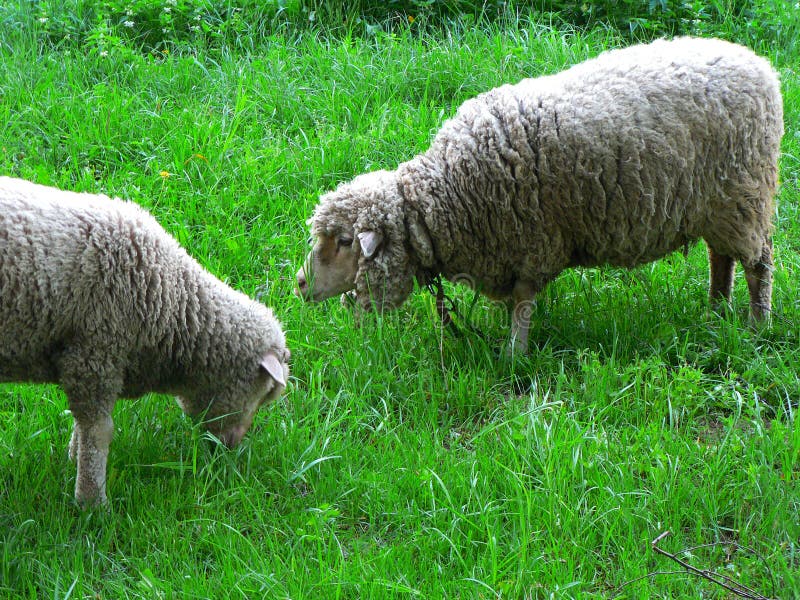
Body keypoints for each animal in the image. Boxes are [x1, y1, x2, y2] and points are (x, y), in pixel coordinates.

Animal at [0, 177, 290, 506]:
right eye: (264, 392)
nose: (229, 448)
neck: (172, 305)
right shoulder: (95, 354)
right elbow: (98, 432)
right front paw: (92, 502)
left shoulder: (83, 359)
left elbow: (82, 426)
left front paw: (73, 458)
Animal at [296, 37, 783, 352]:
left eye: (344, 242)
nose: (298, 283)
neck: (440, 199)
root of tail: (761, 66)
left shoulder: (533, 242)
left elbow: (524, 303)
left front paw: (515, 353)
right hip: (717, 205)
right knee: (721, 258)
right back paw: (716, 310)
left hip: (745, 194)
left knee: (758, 264)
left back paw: (757, 325)